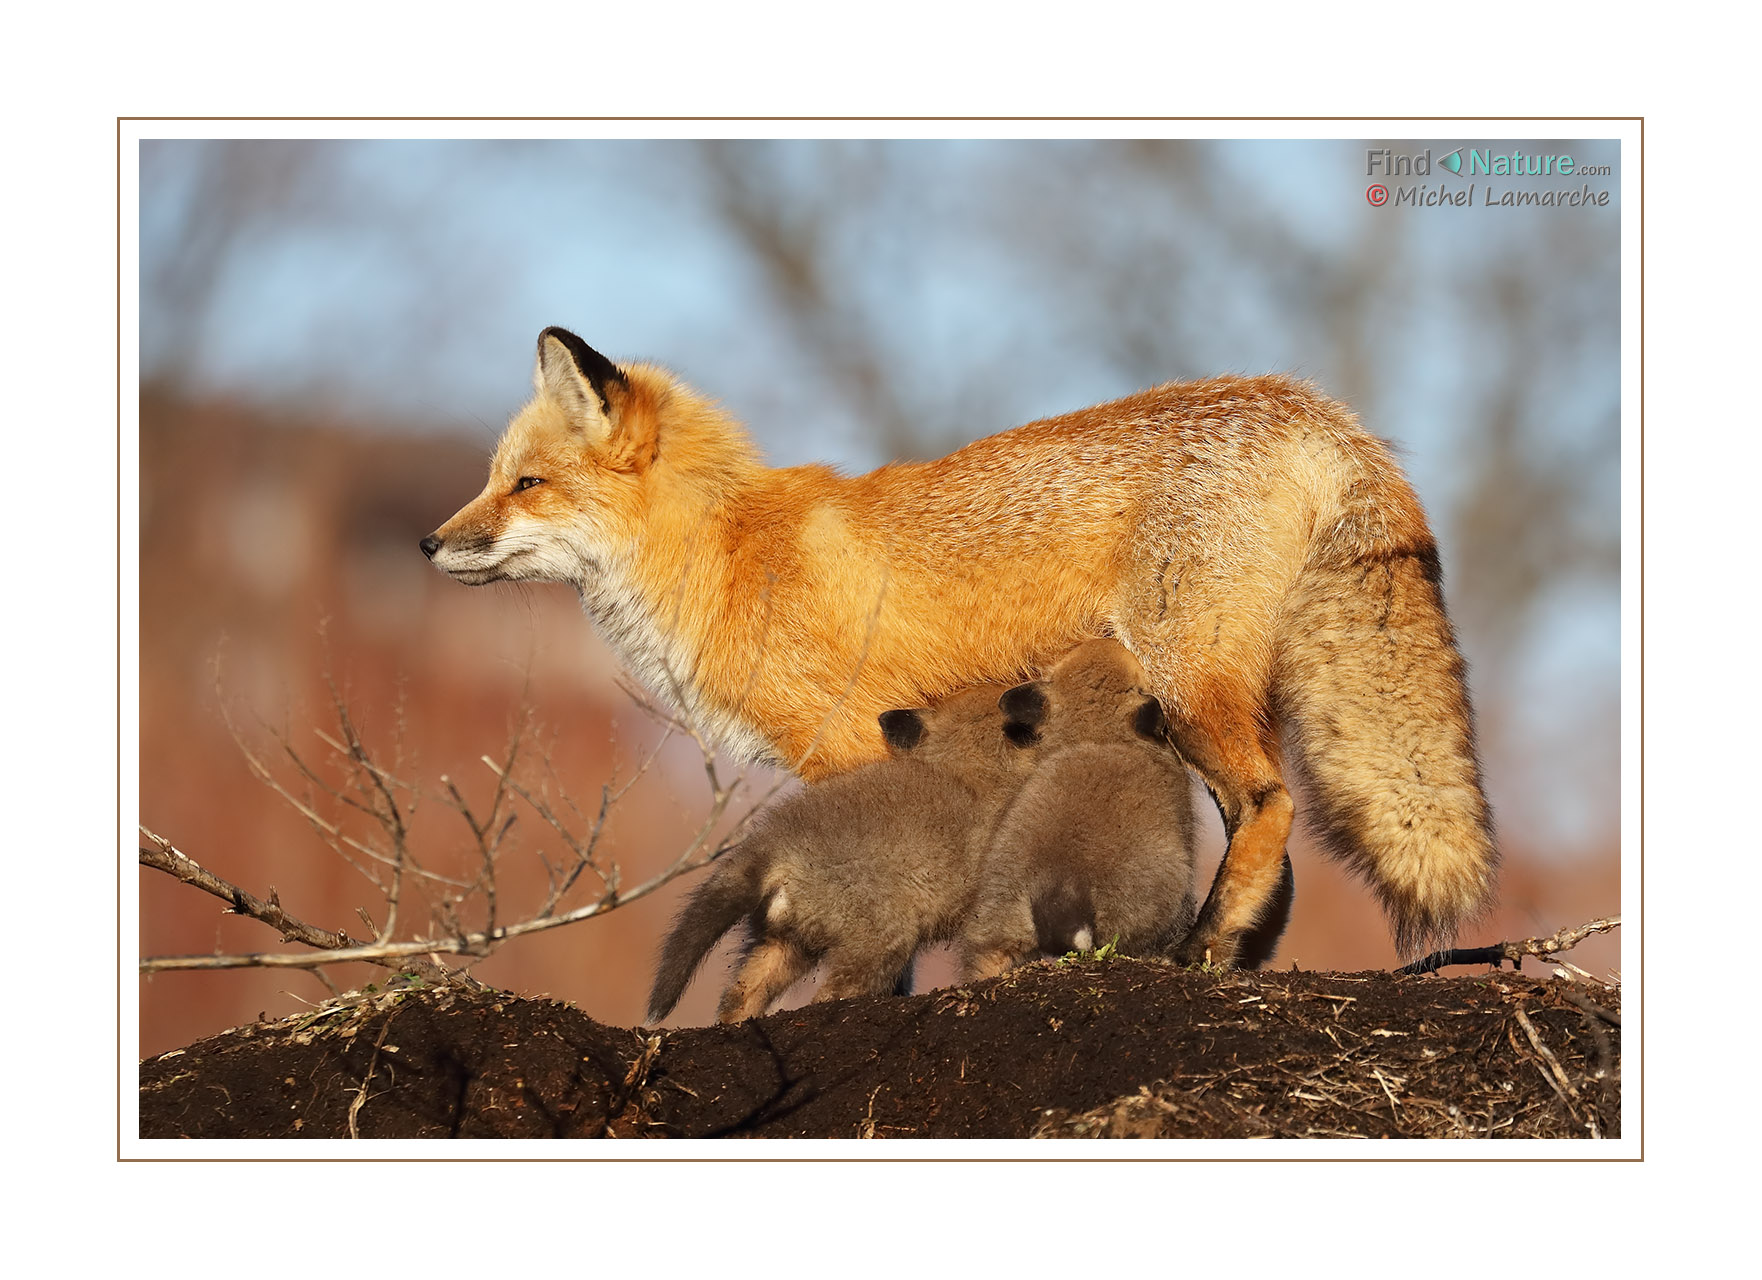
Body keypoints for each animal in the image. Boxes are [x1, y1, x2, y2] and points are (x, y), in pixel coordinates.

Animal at [423, 327, 1498, 965]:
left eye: (525, 485)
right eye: (494, 478)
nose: (428, 543)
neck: (726, 554)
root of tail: (1312, 403)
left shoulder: (851, 743)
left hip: (1188, 686)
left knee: (1272, 810)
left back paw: (1199, 951)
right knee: (1267, 833)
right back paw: (1231, 958)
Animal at [645, 684, 1033, 1025]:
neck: (971, 771)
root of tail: (772, 839)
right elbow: (994, 954)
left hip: (785, 944)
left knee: (739, 997)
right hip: (879, 943)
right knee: (830, 997)